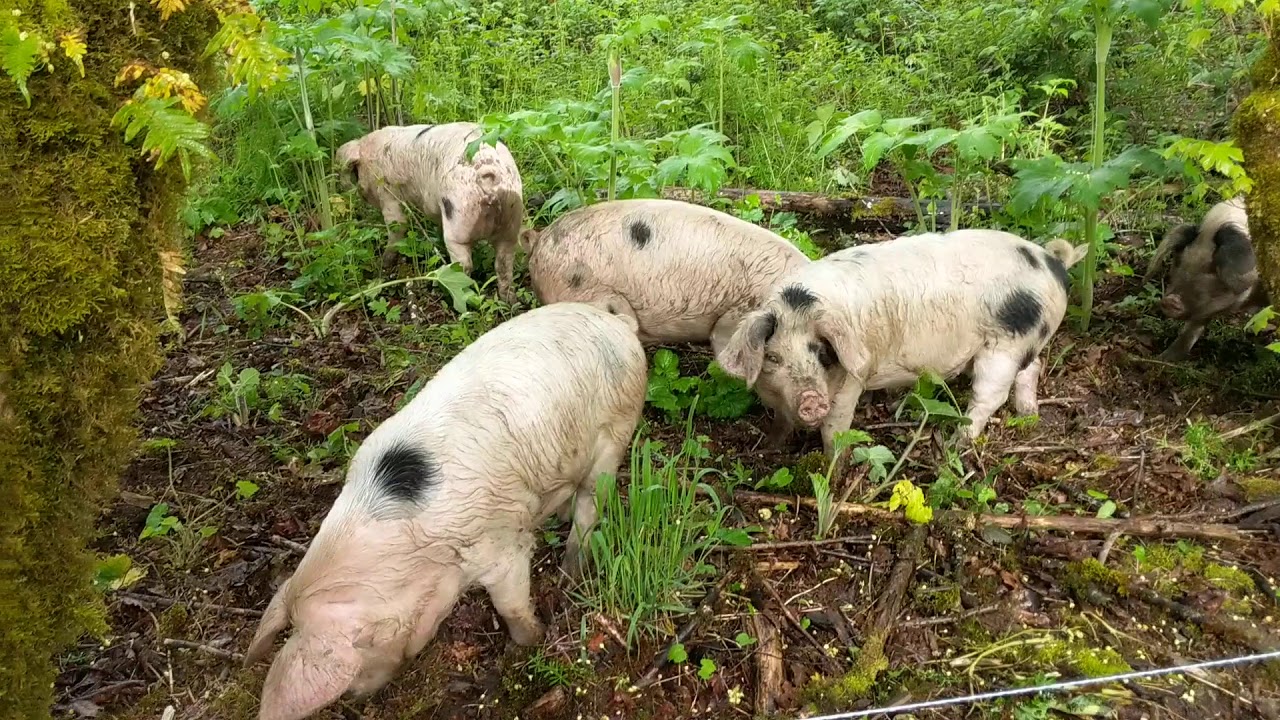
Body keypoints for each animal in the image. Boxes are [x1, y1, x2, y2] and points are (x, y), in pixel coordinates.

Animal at [243, 303, 646, 720]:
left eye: (367, 643)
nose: (355, 696)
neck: (416, 563)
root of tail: (616, 323)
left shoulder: (501, 544)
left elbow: (511, 601)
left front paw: (528, 642)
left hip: (615, 433)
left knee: (590, 505)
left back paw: (569, 572)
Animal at [335, 122, 524, 303]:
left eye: (356, 172)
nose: (360, 193)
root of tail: (489, 174)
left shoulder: (388, 192)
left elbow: (398, 224)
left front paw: (383, 263)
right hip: (512, 221)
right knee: (504, 263)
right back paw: (510, 301)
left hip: (459, 219)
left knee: (464, 265)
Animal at [717, 229, 1088, 455]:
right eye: (774, 358)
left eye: (822, 354)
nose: (810, 400)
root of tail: (1053, 262)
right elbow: (780, 422)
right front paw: (769, 447)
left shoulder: (853, 378)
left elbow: (836, 430)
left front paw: (832, 467)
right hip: (1026, 343)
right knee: (1033, 367)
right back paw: (1028, 415)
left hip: (1004, 346)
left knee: (989, 396)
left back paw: (956, 444)